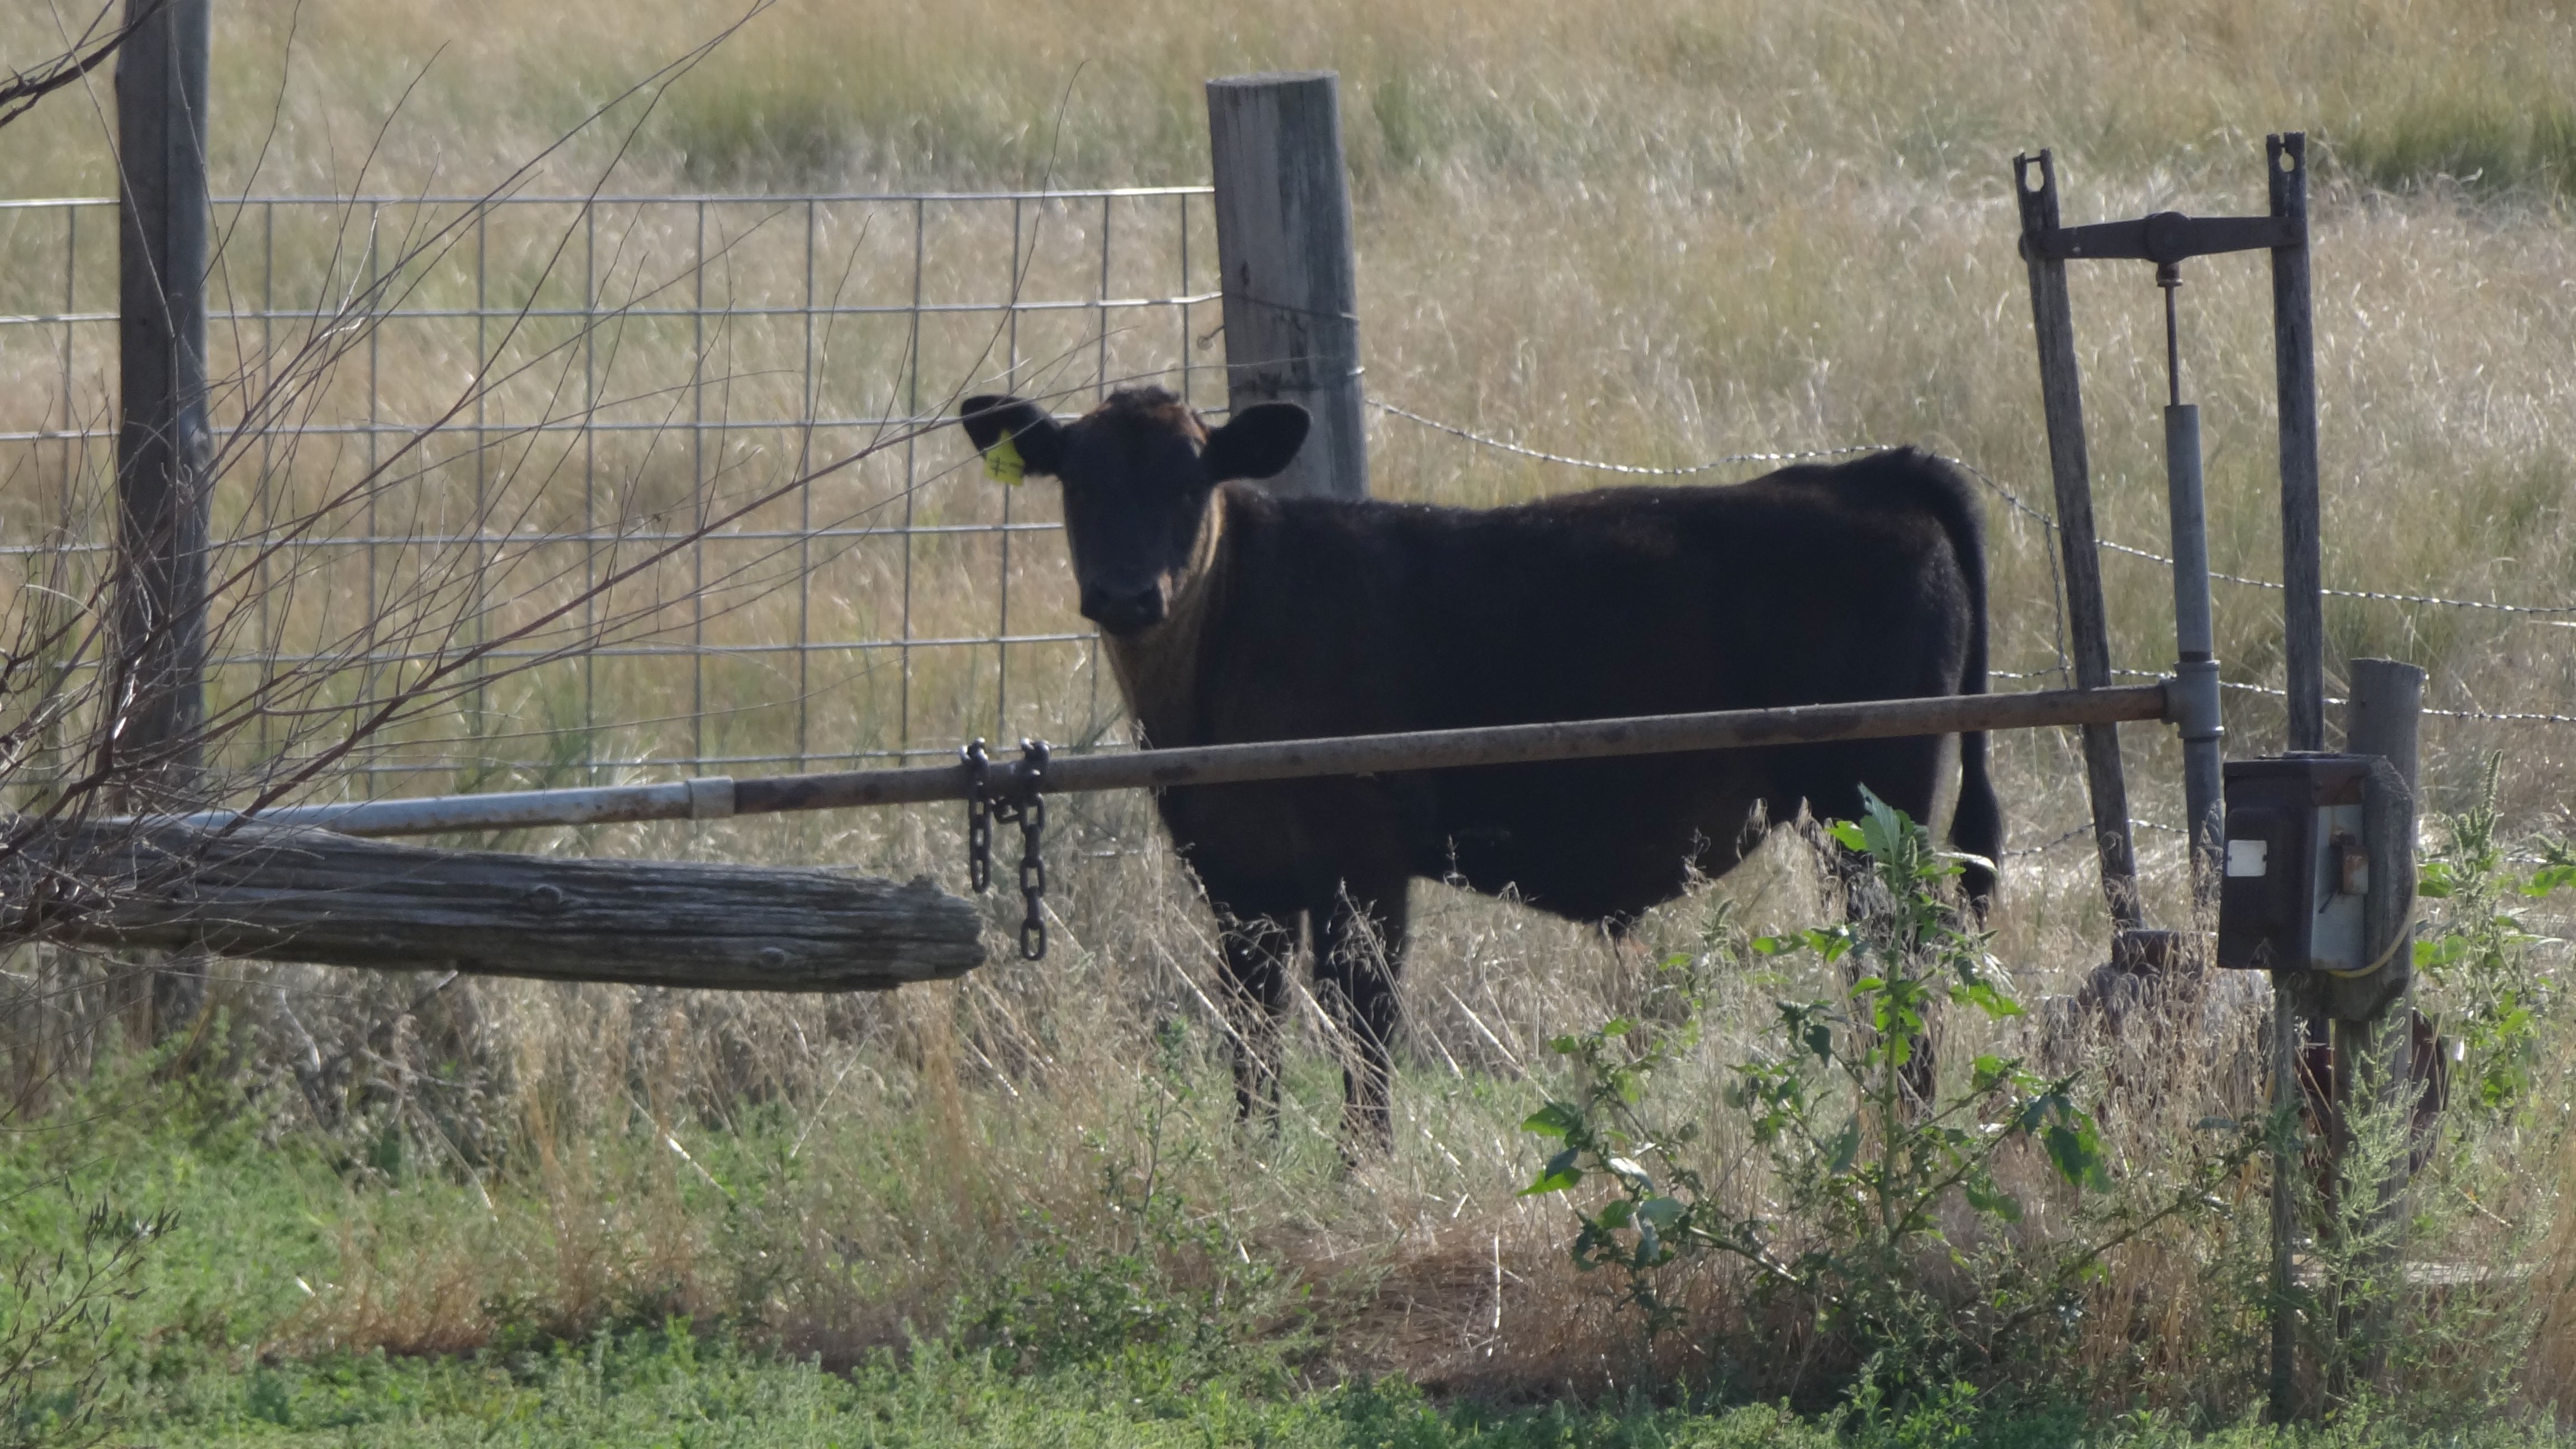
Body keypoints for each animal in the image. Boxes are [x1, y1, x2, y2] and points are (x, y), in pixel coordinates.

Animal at [959, 387, 2000, 1147]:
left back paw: (1901, 1132)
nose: (1126, 594)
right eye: (1076, 484)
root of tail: (1874, 473)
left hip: (1873, 801)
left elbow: (1365, 1022)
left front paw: (1362, 1172)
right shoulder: (1234, 878)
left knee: (1904, 956)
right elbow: (1251, 1033)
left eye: (1190, 484)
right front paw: (1253, 1162)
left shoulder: (1363, 860)